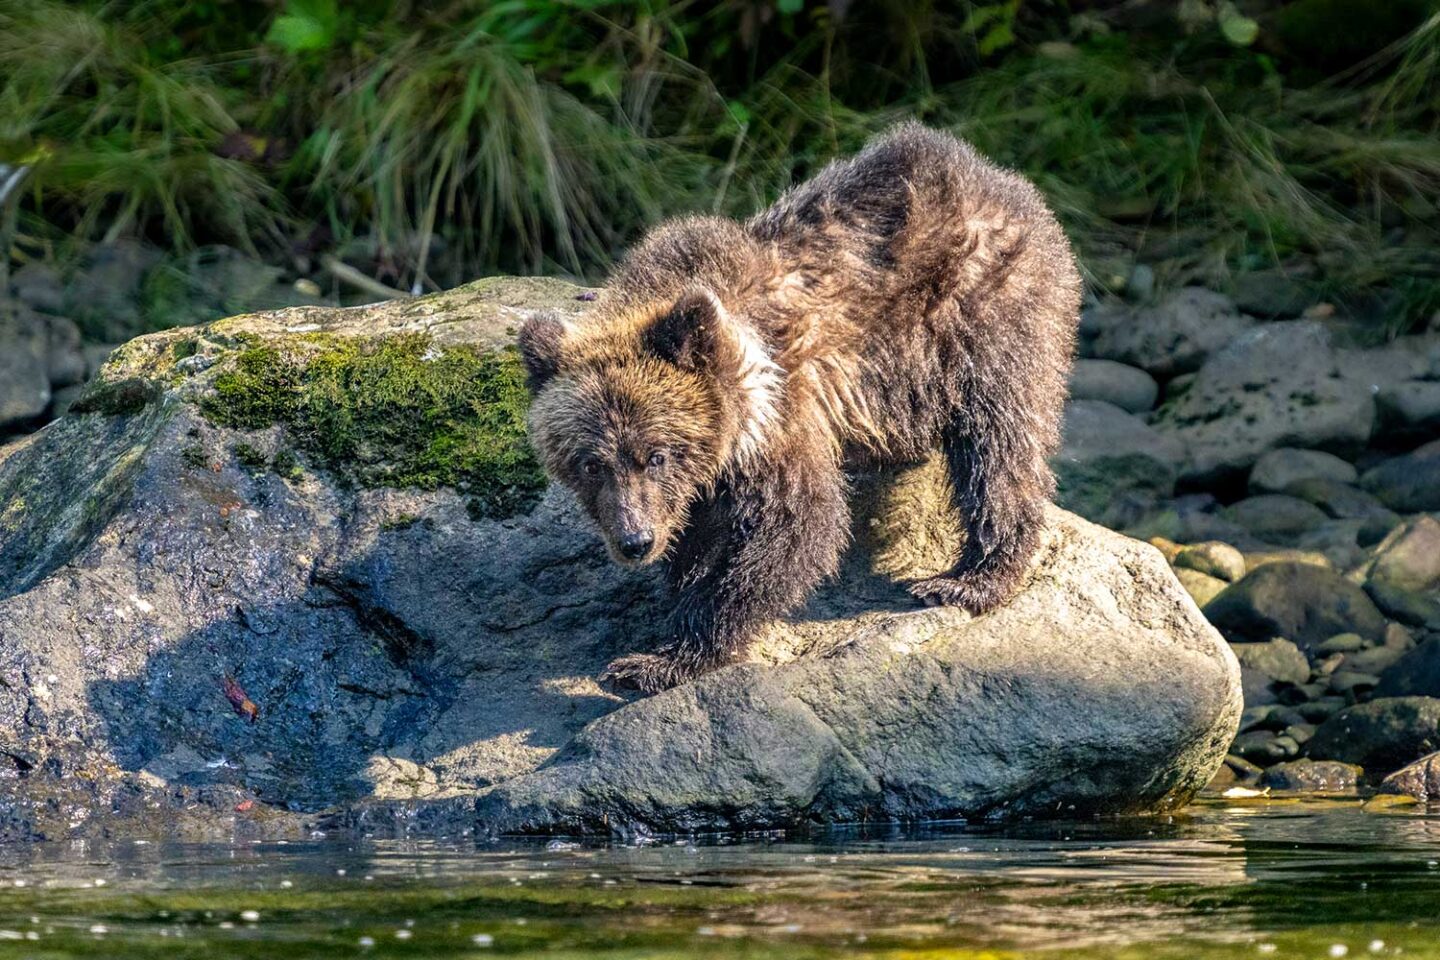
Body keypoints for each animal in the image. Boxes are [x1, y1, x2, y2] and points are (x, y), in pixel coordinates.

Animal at [519, 121, 1080, 694]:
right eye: (590, 464)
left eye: (655, 455)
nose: (635, 540)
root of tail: (1001, 179)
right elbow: (703, 532)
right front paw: (676, 591)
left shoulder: (783, 410)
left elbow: (796, 525)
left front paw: (661, 658)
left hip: (983, 319)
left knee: (999, 446)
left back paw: (969, 578)